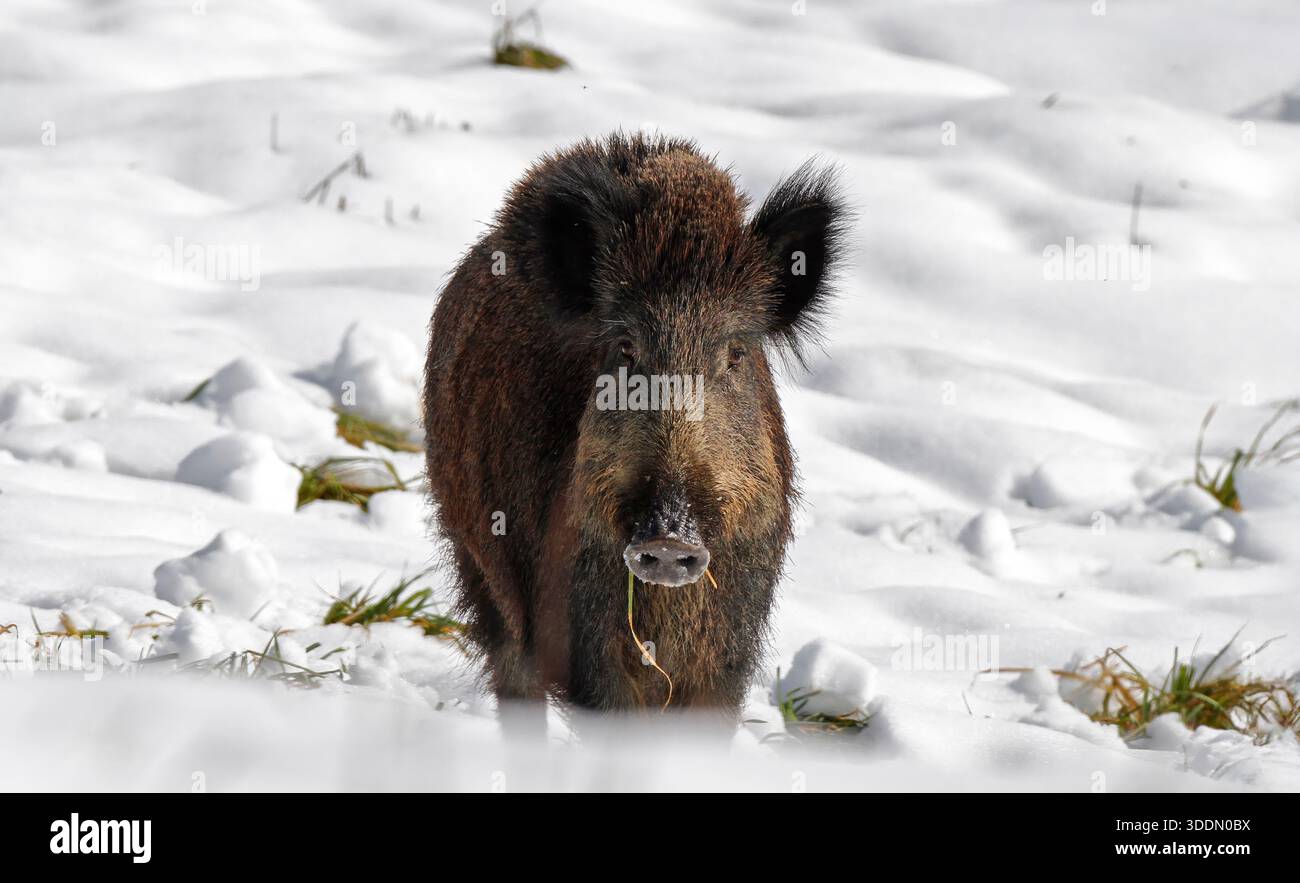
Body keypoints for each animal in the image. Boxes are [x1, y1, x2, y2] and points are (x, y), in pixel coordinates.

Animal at [423, 132, 846, 725]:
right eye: (626, 348)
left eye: (736, 354)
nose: (669, 538)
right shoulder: (582, 639)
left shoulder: (730, 650)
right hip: (475, 557)